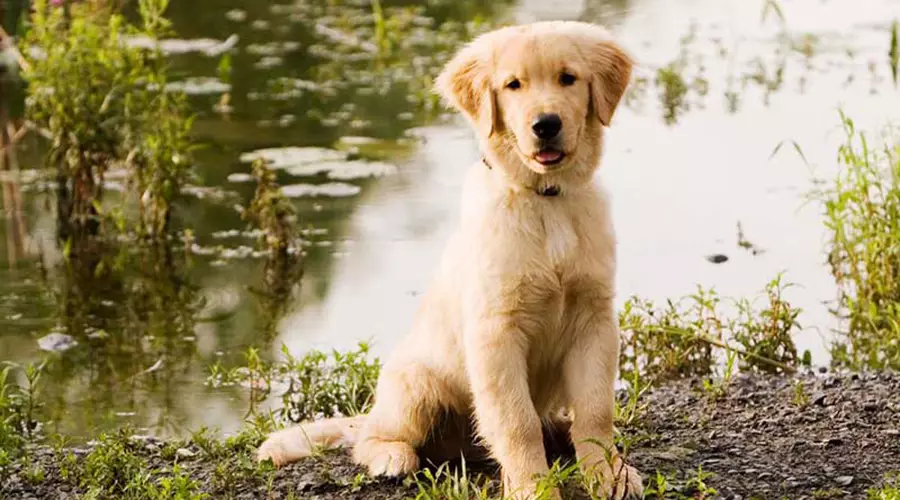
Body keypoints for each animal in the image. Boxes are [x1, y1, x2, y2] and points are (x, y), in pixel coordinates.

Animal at [258, 21, 640, 498]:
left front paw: (608, 474)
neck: (545, 200)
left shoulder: (595, 319)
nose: (546, 125)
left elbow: (594, 410)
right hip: (415, 384)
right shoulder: (496, 334)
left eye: (568, 78)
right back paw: (391, 457)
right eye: (513, 85)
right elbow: (517, 423)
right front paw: (532, 487)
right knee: (374, 435)